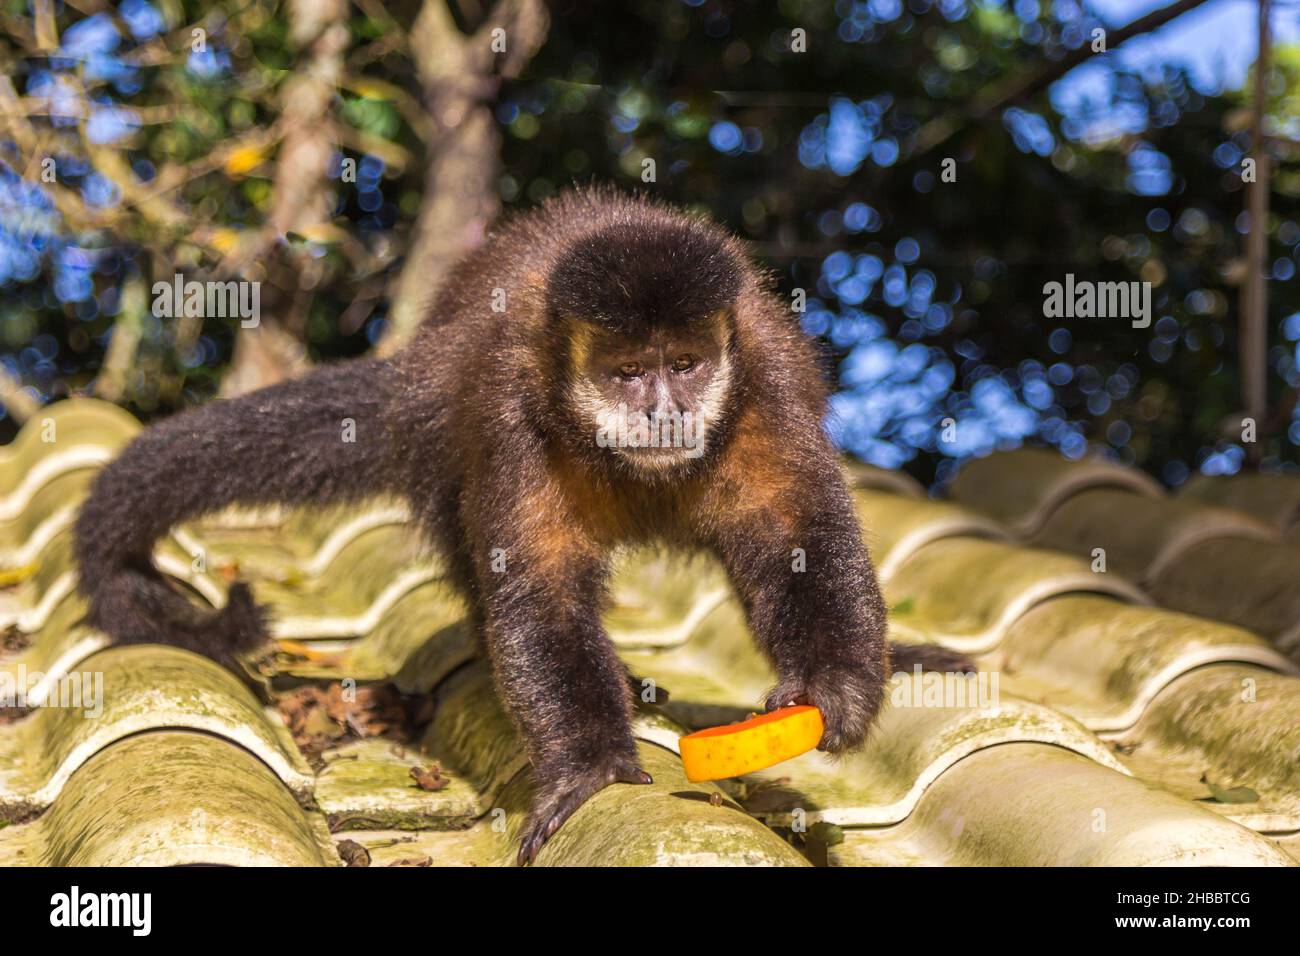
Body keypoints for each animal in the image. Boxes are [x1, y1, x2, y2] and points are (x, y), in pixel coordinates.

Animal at [73, 188, 971, 864]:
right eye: (626, 373)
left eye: (685, 365)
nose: (665, 410)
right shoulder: (511, 414)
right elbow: (537, 588)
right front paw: (592, 768)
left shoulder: (765, 386)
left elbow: (801, 532)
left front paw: (834, 684)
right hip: (439, 427)